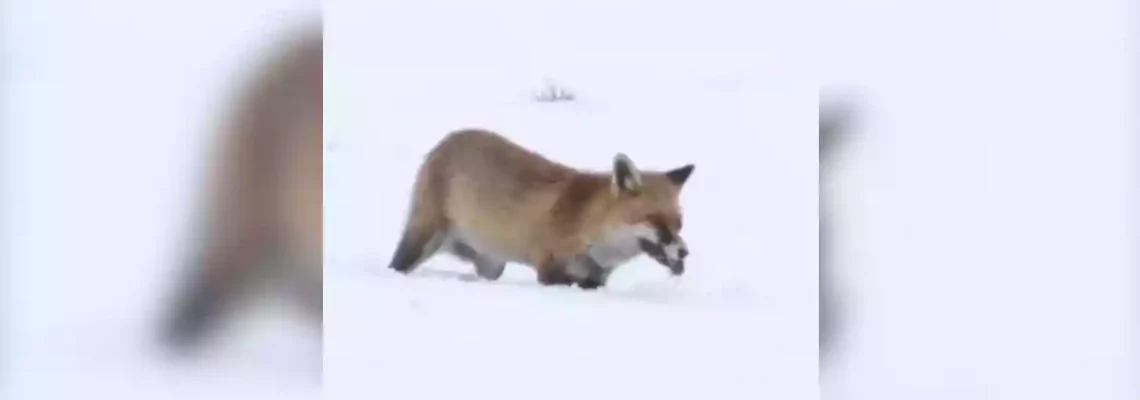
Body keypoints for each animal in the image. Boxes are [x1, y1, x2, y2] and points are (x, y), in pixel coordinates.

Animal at [387, 128, 695, 289]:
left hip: (491, 266)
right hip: (421, 239)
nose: (684, 252)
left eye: (679, 223)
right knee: (397, 265)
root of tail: (448, 139)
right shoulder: (550, 270)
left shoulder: (594, 280)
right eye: (655, 220)